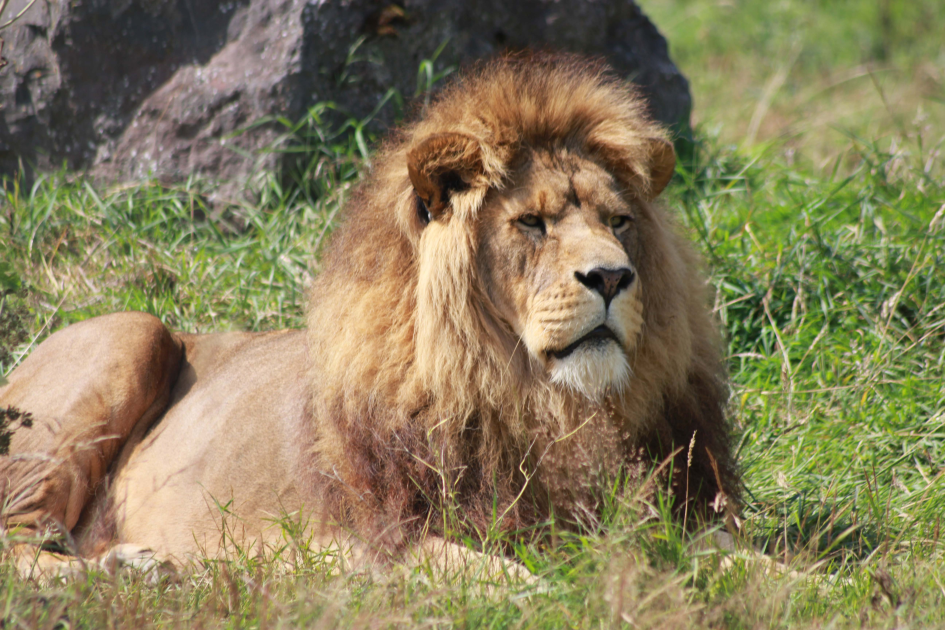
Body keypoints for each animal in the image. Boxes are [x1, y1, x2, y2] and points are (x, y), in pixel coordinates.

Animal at [0, 54, 738, 575]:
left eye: (618, 222)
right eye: (532, 222)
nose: (612, 276)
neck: (537, 399)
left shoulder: (685, 513)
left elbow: (752, 560)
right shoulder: (368, 540)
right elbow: (511, 578)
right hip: (128, 336)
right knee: (17, 545)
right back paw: (127, 572)